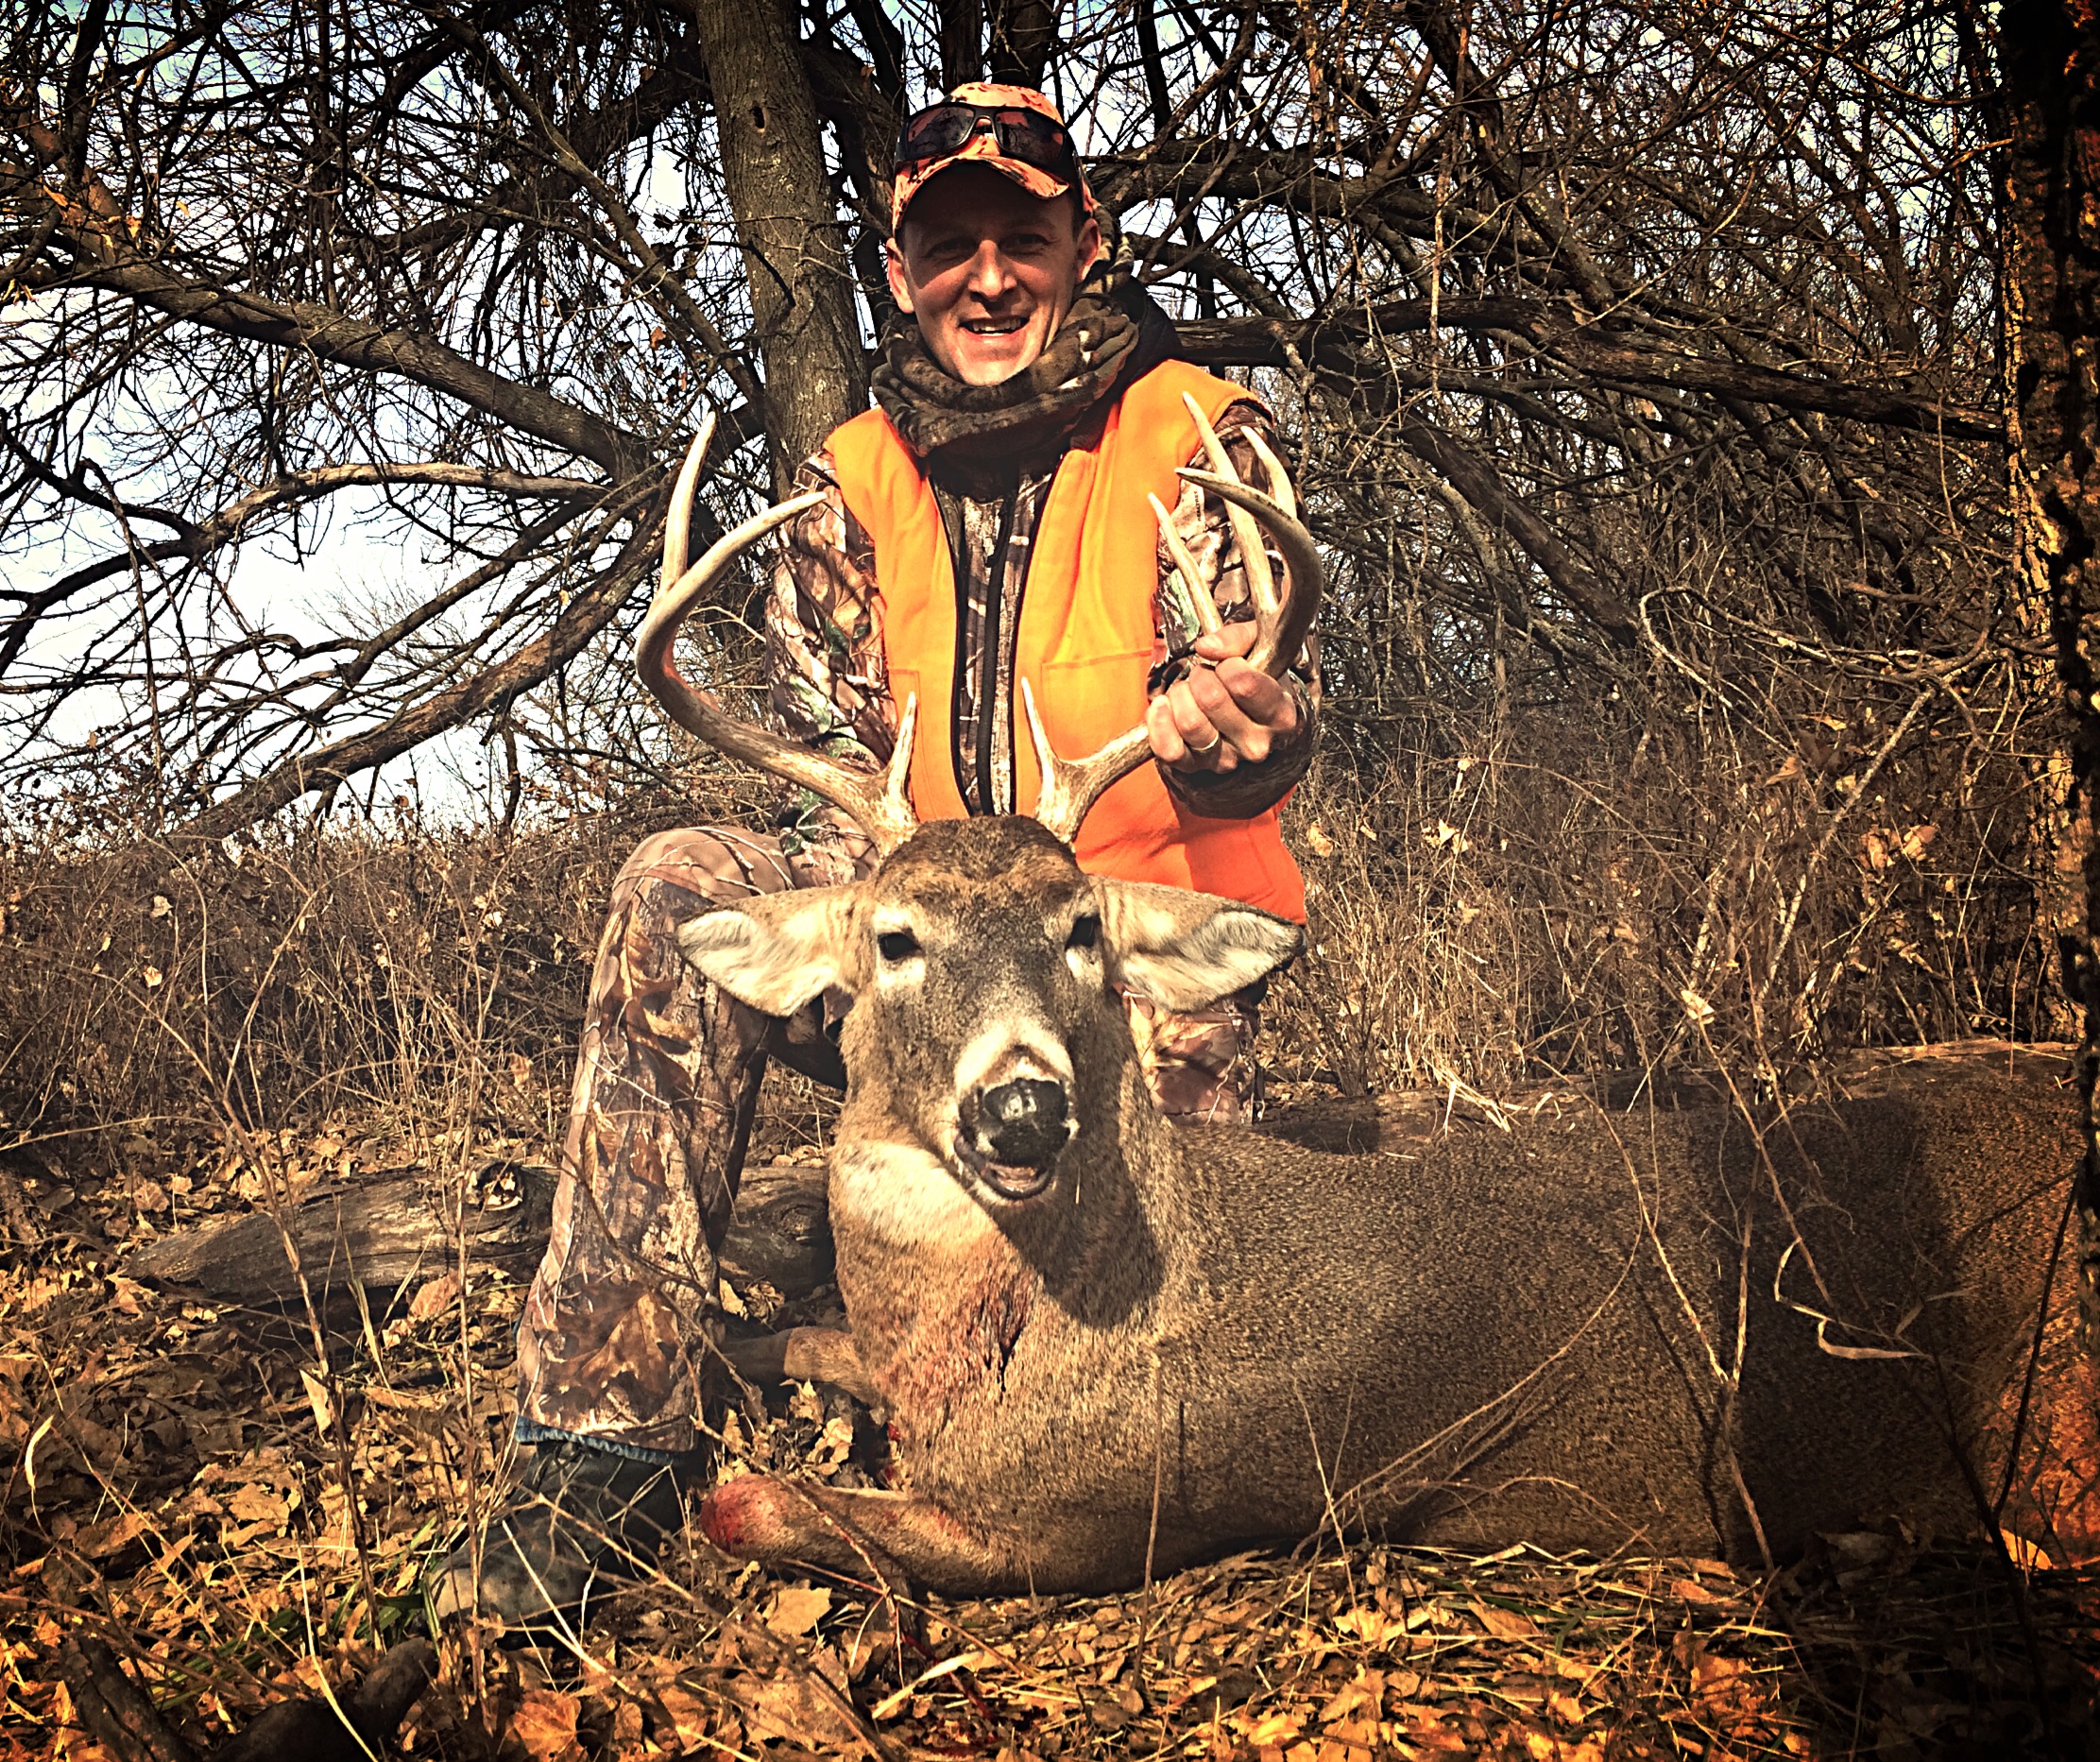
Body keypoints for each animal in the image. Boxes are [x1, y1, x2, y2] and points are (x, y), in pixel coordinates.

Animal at [634, 414, 2097, 1597]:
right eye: (893, 937)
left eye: (1083, 928)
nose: (1023, 1107)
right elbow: (778, 1334)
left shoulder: (1090, 1519)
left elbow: (744, 1502)